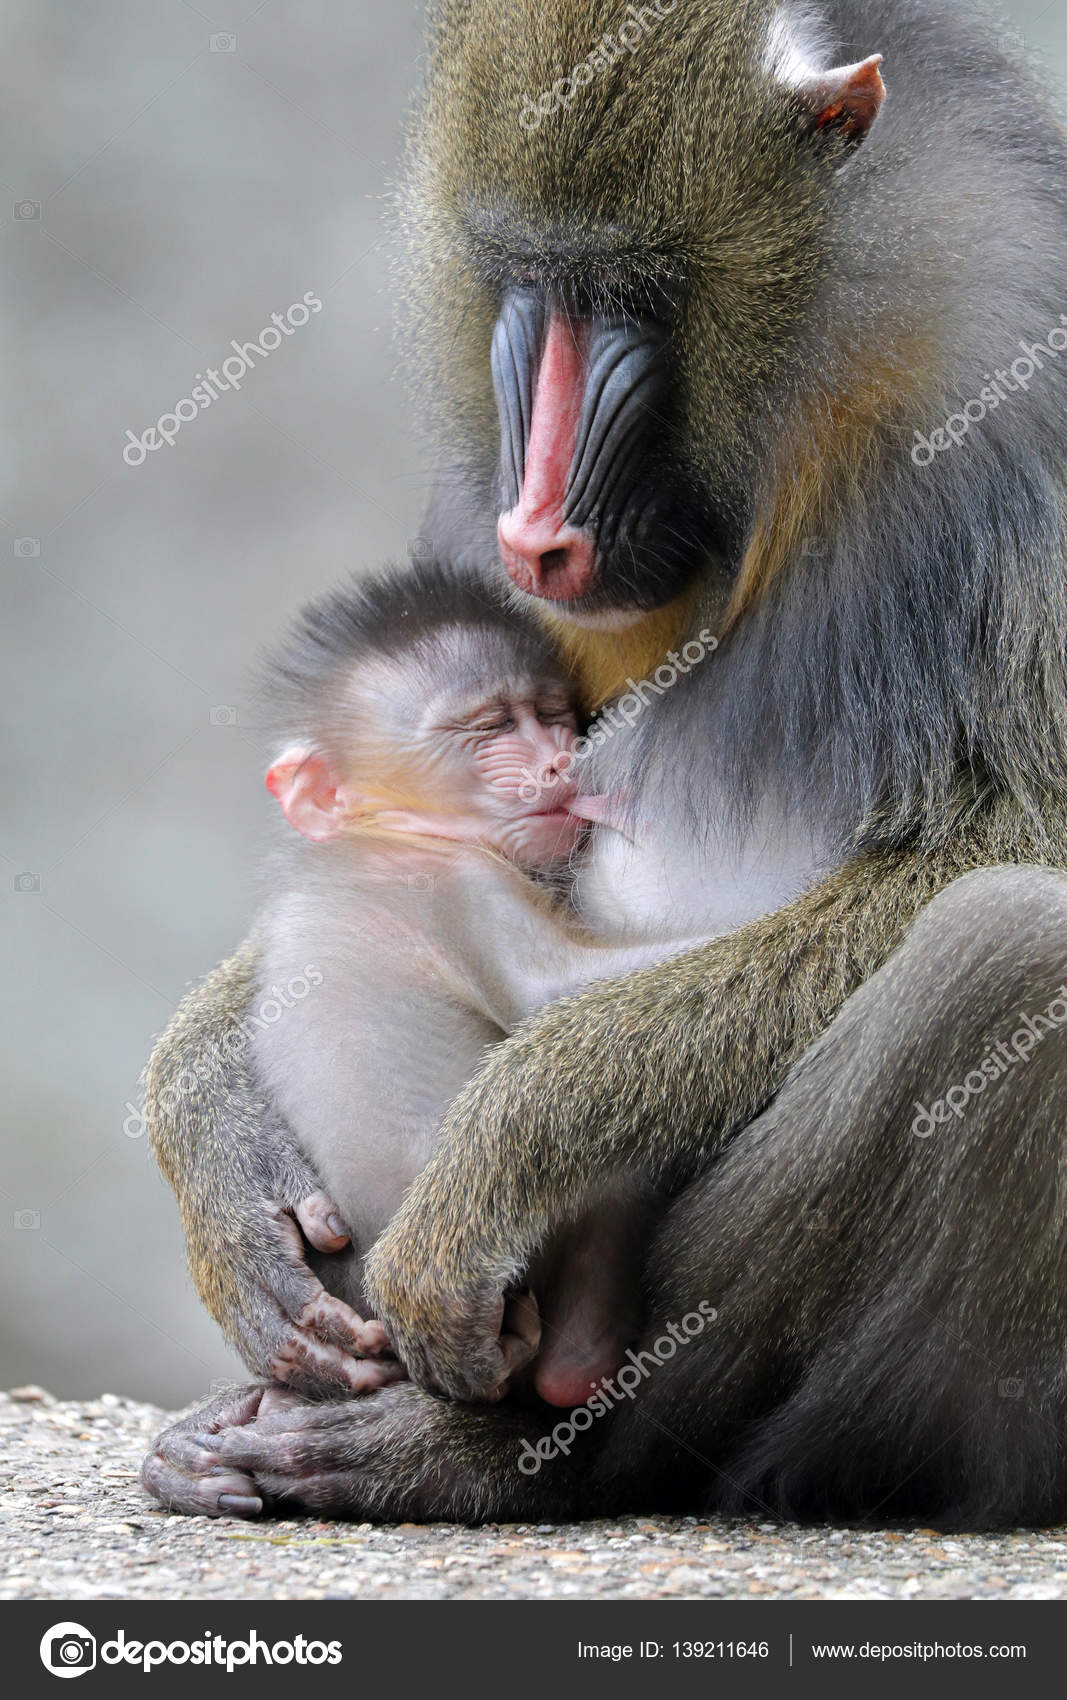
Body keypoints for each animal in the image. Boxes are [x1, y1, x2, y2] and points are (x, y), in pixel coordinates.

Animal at [143, 0, 1067, 1530]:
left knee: (1006, 949)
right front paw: (218, 1142)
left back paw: (487, 1452)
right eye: (527, 280)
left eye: (632, 291)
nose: (534, 527)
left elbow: (1002, 853)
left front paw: (504, 1144)